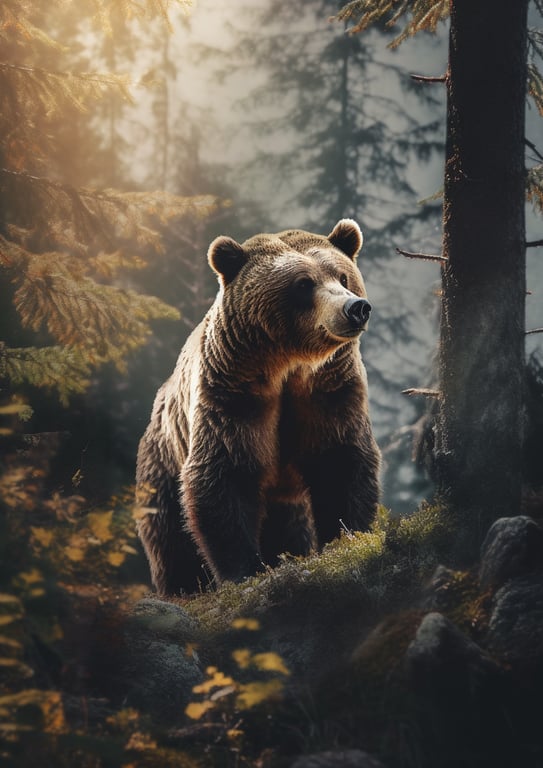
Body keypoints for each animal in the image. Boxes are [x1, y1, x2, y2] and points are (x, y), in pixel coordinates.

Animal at [136, 218, 381, 596]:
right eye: (304, 283)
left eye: (342, 276)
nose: (355, 308)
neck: (289, 367)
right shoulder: (233, 393)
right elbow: (225, 473)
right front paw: (244, 570)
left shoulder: (330, 390)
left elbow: (340, 461)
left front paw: (348, 536)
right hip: (161, 462)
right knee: (171, 540)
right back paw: (183, 587)